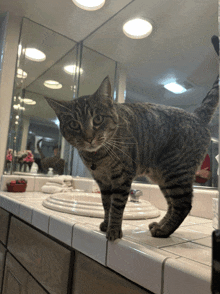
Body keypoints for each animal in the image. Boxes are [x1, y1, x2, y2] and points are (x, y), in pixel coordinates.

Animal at [44, 75, 218, 241]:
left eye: (98, 119)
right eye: (74, 124)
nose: (89, 138)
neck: (98, 157)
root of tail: (196, 115)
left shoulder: (121, 177)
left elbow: (116, 205)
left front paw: (113, 230)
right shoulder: (103, 181)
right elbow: (106, 204)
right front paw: (106, 223)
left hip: (176, 173)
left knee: (183, 205)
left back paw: (164, 231)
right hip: (163, 178)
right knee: (172, 205)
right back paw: (160, 225)